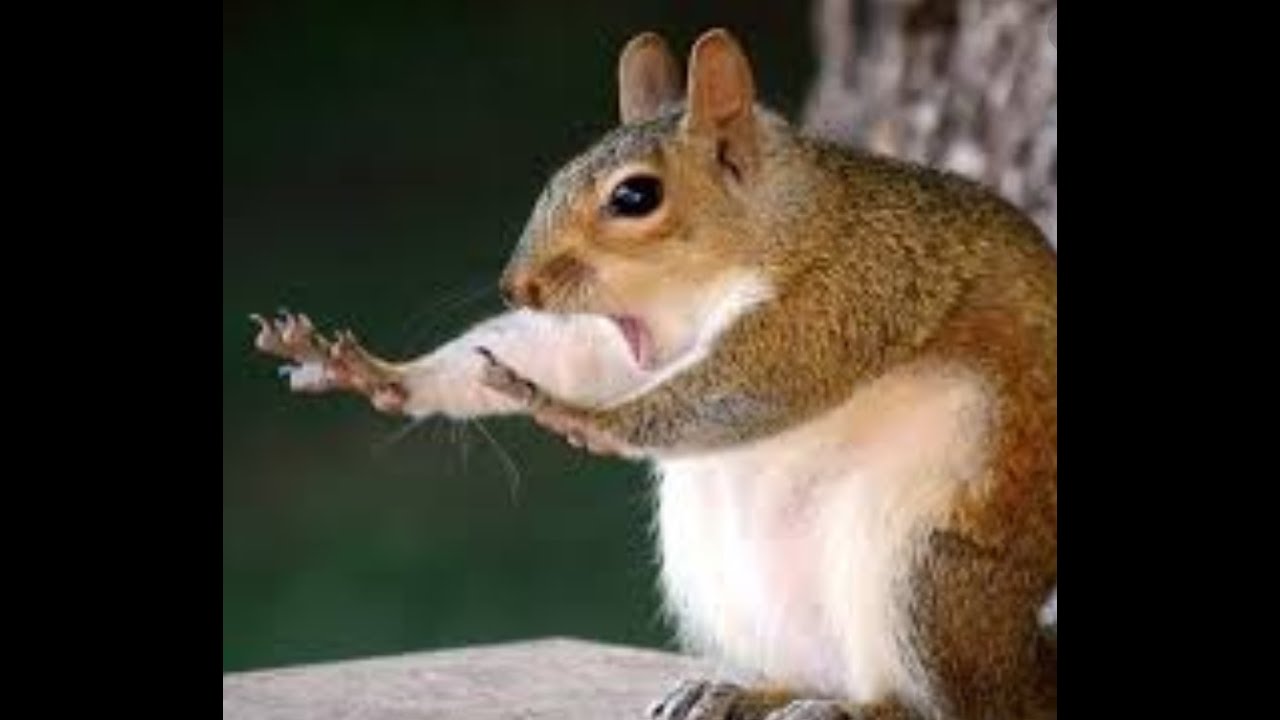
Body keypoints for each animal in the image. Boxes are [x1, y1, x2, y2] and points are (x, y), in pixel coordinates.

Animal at [253, 28, 1056, 720]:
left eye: (635, 196)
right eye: (557, 176)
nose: (520, 288)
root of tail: (1021, 669)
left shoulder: (852, 289)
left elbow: (764, 379)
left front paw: (584, 418)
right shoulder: (625, 341)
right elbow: (561, 355)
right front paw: (375, 372)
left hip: (924, 575)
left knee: (946, 706)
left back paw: (851, 709)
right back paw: (743, 691)